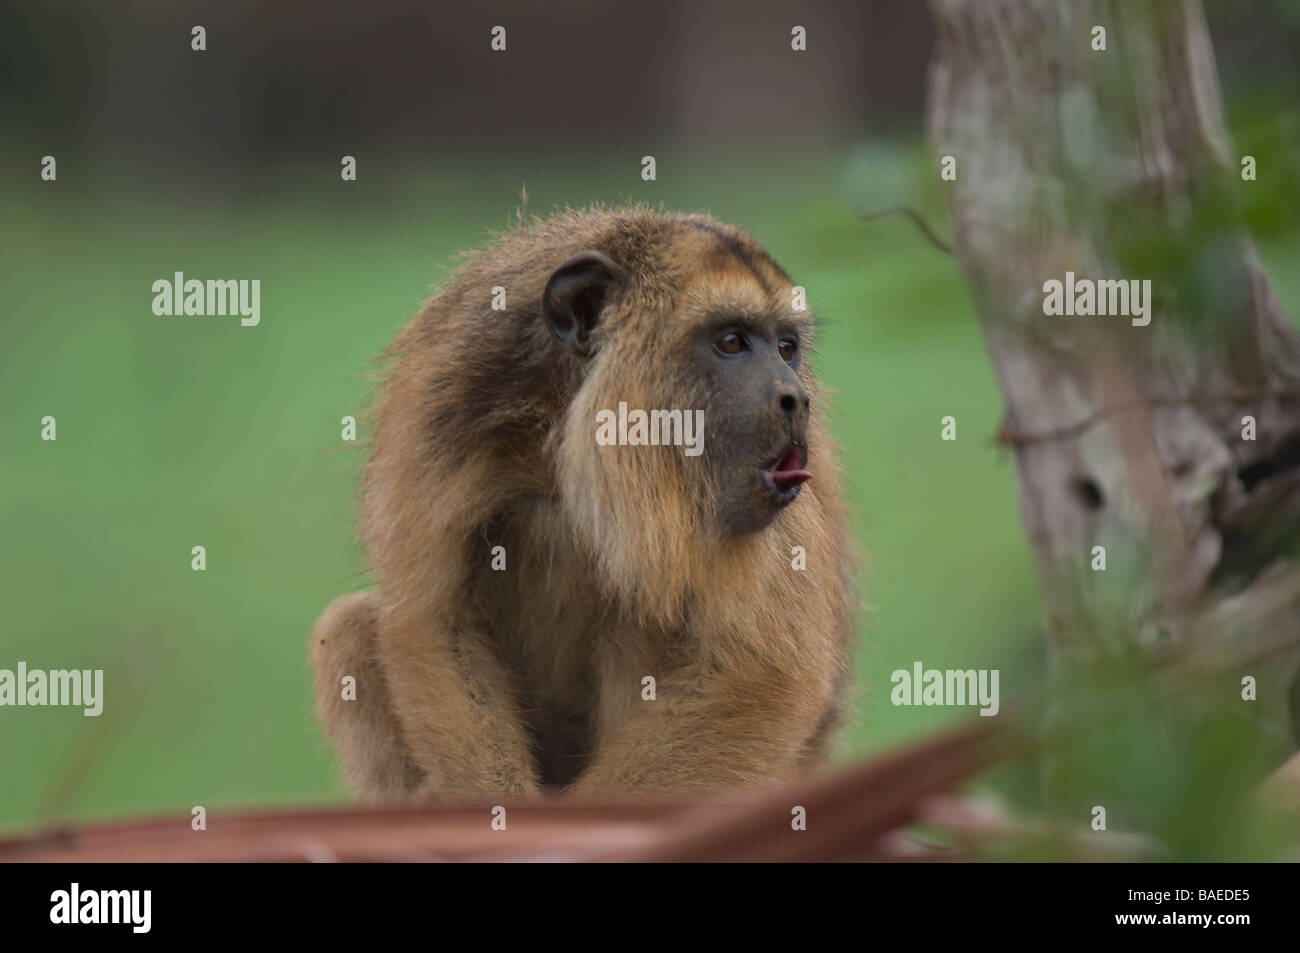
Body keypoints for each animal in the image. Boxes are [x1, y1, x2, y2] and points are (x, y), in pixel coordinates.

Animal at [310, 206, 857, 801]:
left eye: (786, 348)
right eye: (731, 342)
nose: (795, 397)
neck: (567, 411)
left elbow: (764, 670)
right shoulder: (449, 390)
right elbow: (432, 620)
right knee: (348, 625)